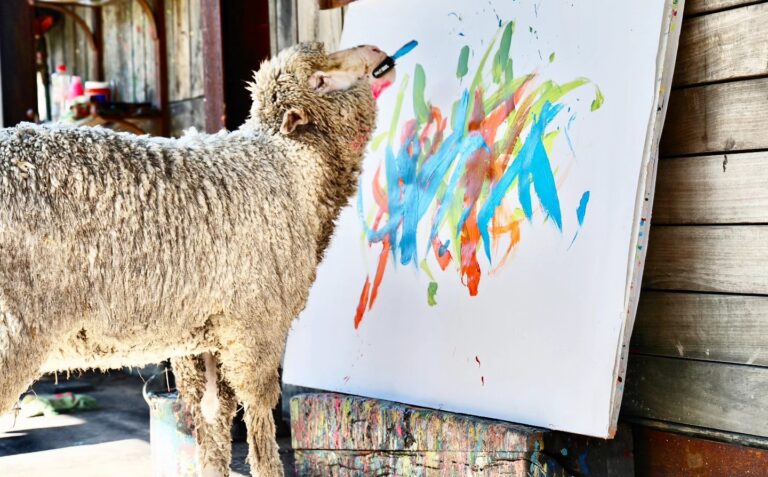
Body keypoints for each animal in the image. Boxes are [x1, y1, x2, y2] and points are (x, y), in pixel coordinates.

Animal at [0, 41, 391, 477]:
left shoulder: (201, 334)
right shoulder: (255, 324)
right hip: (14, 331)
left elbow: (211, 419)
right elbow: (258, 417)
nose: (376, 50)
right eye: (320, 80)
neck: (288, 165)